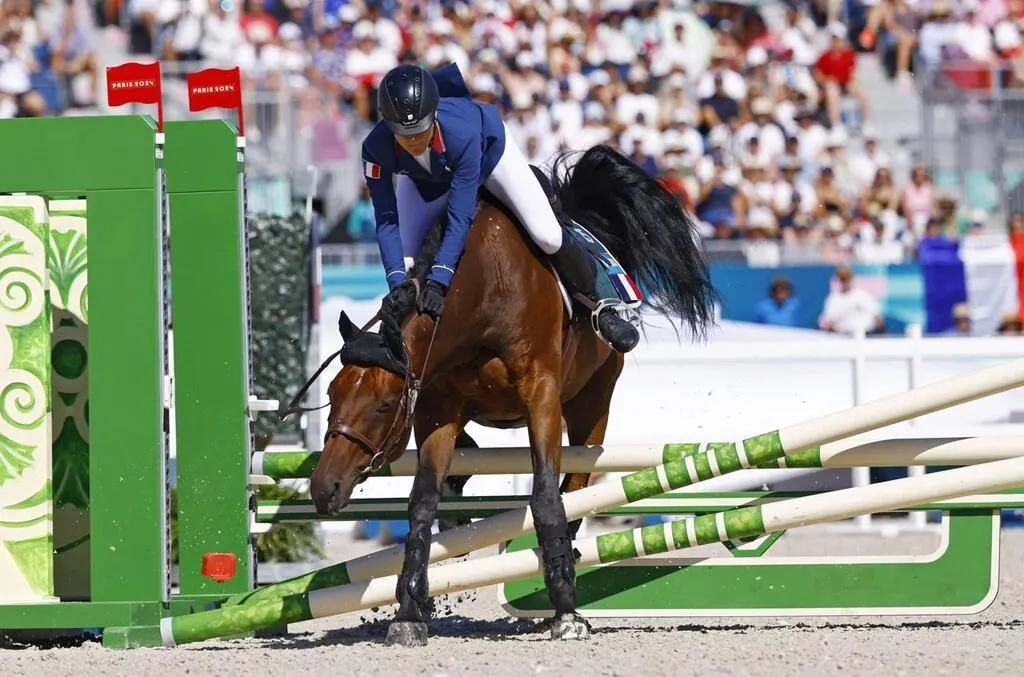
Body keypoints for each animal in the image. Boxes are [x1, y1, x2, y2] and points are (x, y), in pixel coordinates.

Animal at [307, 144, 716, 646]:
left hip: (592, 403)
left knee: (576, 487)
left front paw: (566, 611)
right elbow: (422, 502)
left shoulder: (541, 395)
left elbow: (546, 497)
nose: (324, 489)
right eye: (332, 393)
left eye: (384, 405)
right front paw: (409, 612)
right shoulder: (438, 408)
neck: (482, 295)